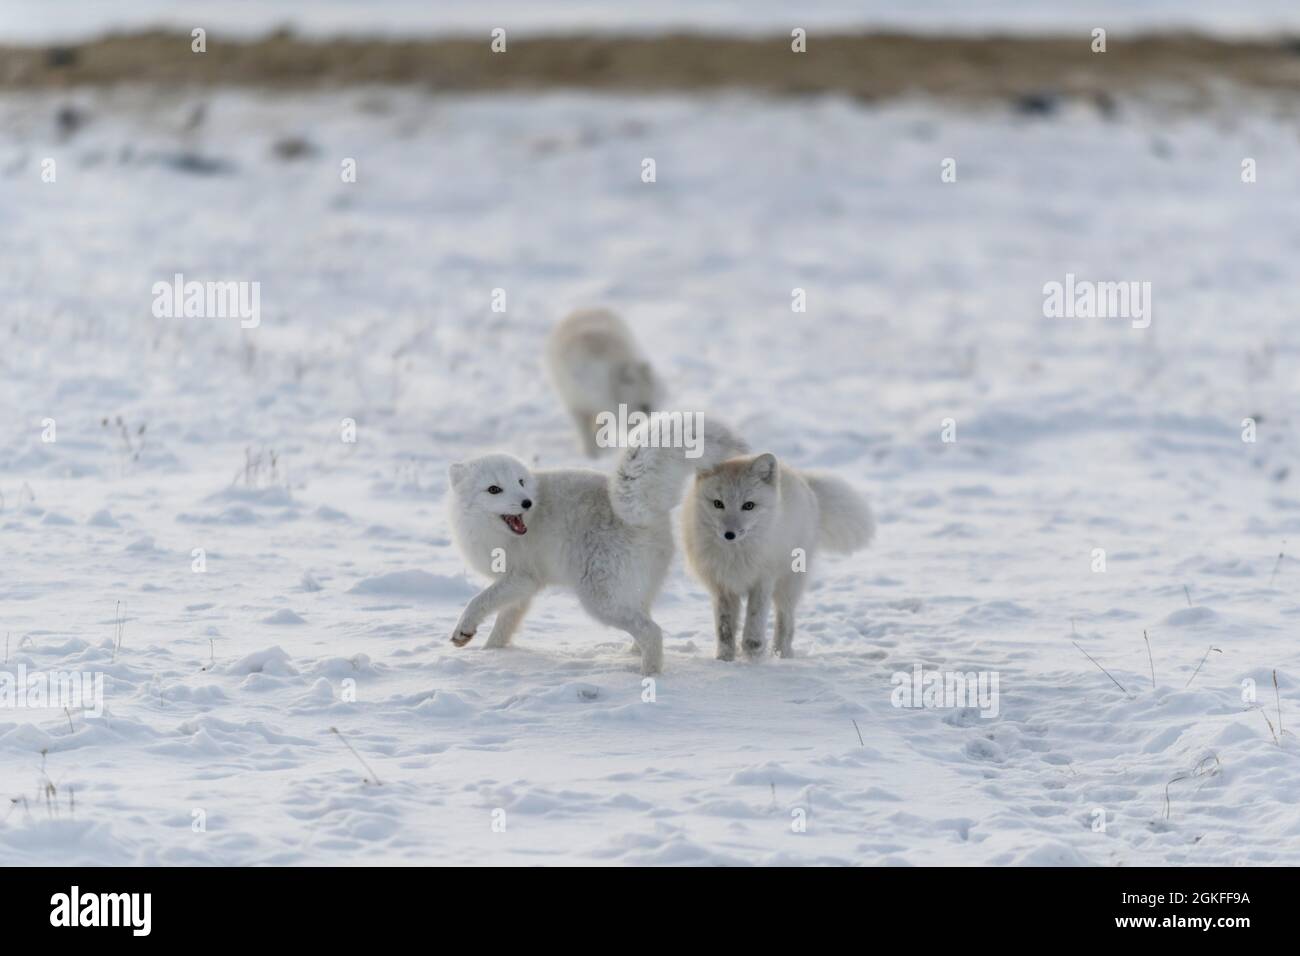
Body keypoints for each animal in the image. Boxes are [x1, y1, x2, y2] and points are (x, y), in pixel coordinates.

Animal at [446, 419, 746, 675]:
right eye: (494, 489)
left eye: (520, 482)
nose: (527, 502)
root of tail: (640, 514)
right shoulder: (524, 588)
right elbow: (504, 624)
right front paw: (491, 653)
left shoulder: (522, 577)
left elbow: (479, 601)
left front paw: (465, 630)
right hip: (634, 590)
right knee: (646, 622)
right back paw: (633, 656)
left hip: (599, 599)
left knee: (653, 631)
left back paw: (649, 674)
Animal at [545, 308, 662, 457]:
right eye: (643, 407)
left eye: (649, 406)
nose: (648, 433)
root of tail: (582, 310)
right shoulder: (575, 404)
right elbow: (583, 431)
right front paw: (590, 454)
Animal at [682, 452, 874, 661]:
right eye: (718, 503)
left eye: (748, 505)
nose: (729, 534)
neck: (736, 555)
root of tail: (801, 478)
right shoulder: (722, 586)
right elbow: (724, 628)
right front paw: (725, 658)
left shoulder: (763, 580)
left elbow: (755, 620)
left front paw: (753, 653)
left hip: (789, 584)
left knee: (786, 620)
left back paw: (782, 654)